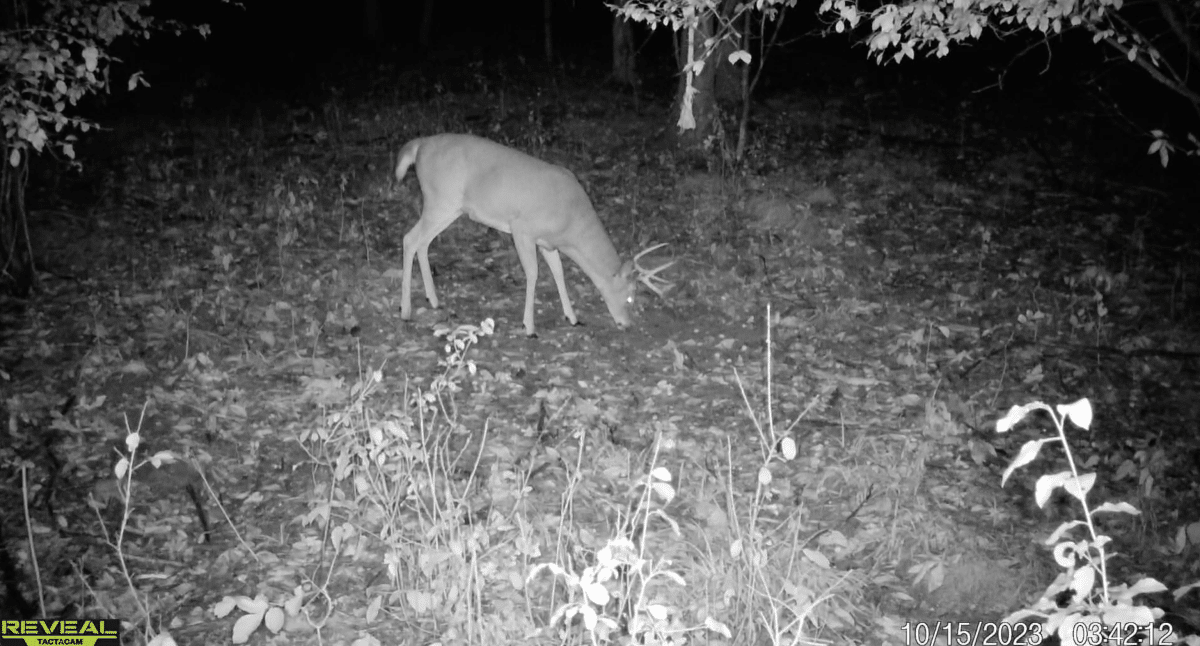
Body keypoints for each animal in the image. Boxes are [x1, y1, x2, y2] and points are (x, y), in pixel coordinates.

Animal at [394, 133, 673, 336]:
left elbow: (559, 273)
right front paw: (529, 327)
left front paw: (572, 317)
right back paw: (406, 310)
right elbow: (533, 273)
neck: (571, 224)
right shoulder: (522, 228)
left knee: (423, 242)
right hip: (441, 200)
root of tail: (419, 145)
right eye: (630, 296)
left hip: (450, 207)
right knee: (410, 239)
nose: (627, 324)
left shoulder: (548, 243)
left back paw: (434, 300)